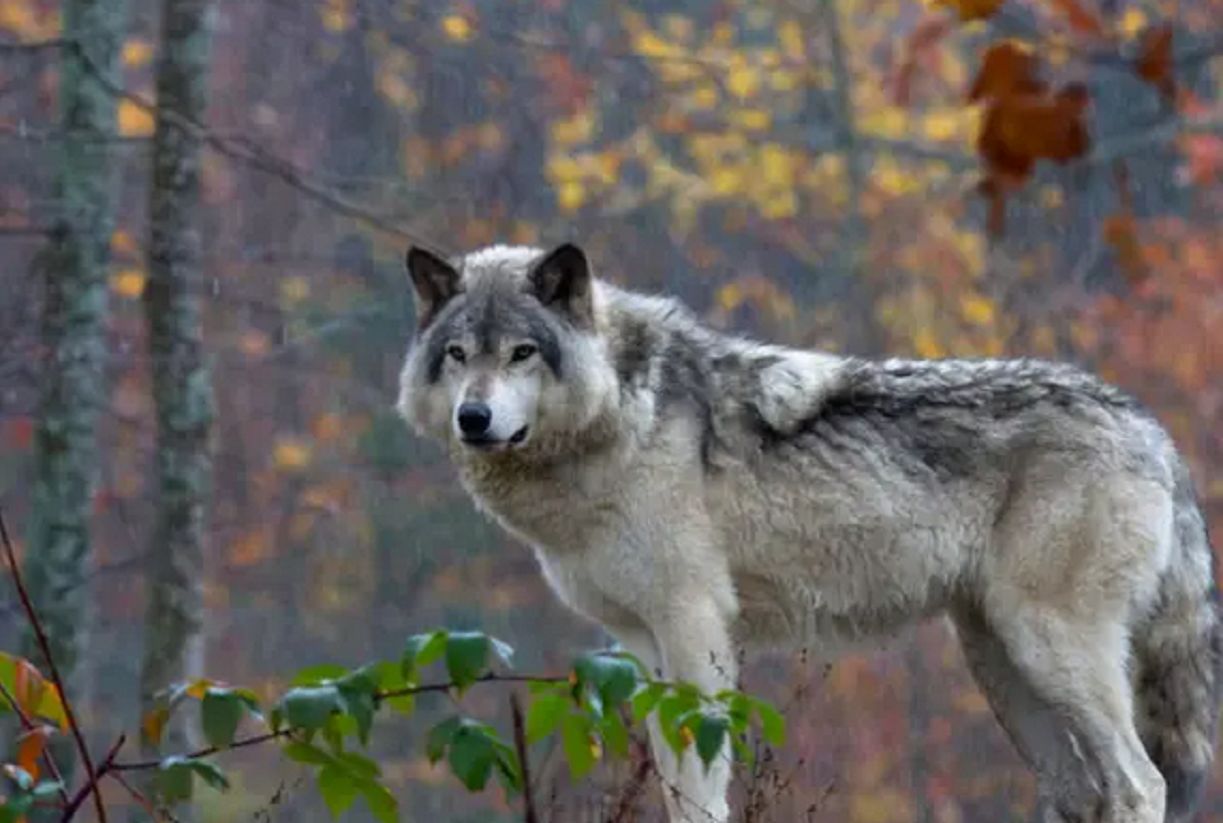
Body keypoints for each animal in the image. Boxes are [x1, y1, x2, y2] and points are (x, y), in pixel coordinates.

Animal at [395, 242, 1221, 823]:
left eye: (522, 352)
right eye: (458, 355)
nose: (474, 418)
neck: (620, 418)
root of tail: (1152, 429)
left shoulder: (694, 622)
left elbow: (699, 783)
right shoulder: (638, 639)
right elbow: (669, 779)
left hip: (1049, 649)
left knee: (1140, 782)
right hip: (1002, 663)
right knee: (1084, 790)